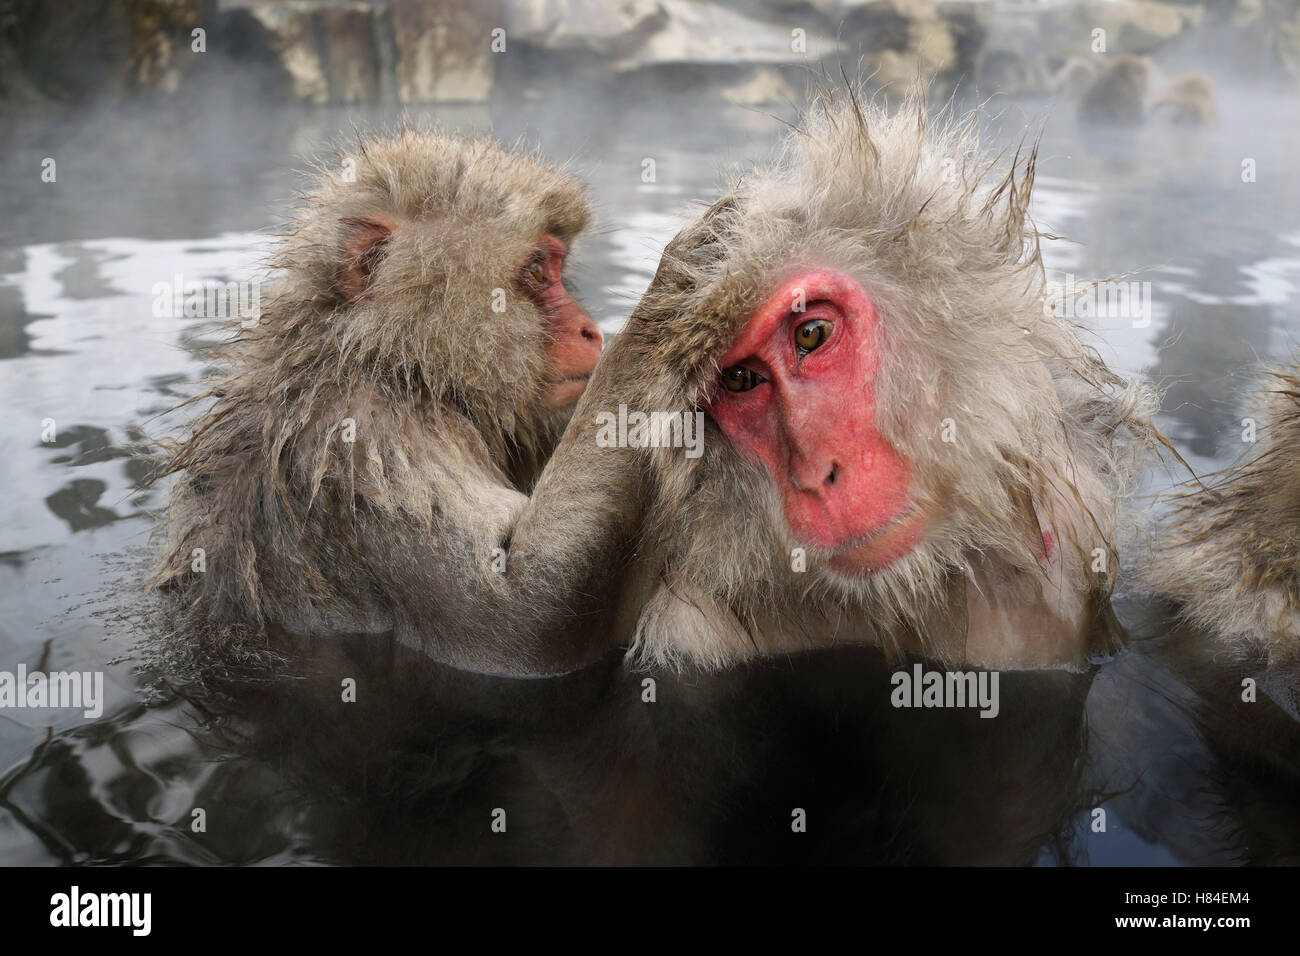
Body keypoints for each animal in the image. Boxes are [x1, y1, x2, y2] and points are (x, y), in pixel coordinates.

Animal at [149, 127, 639, 676]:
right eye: (536, 272)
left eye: (557, 265)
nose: (591, 330)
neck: (392, 366)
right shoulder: (368, 443)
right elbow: (518, 624)